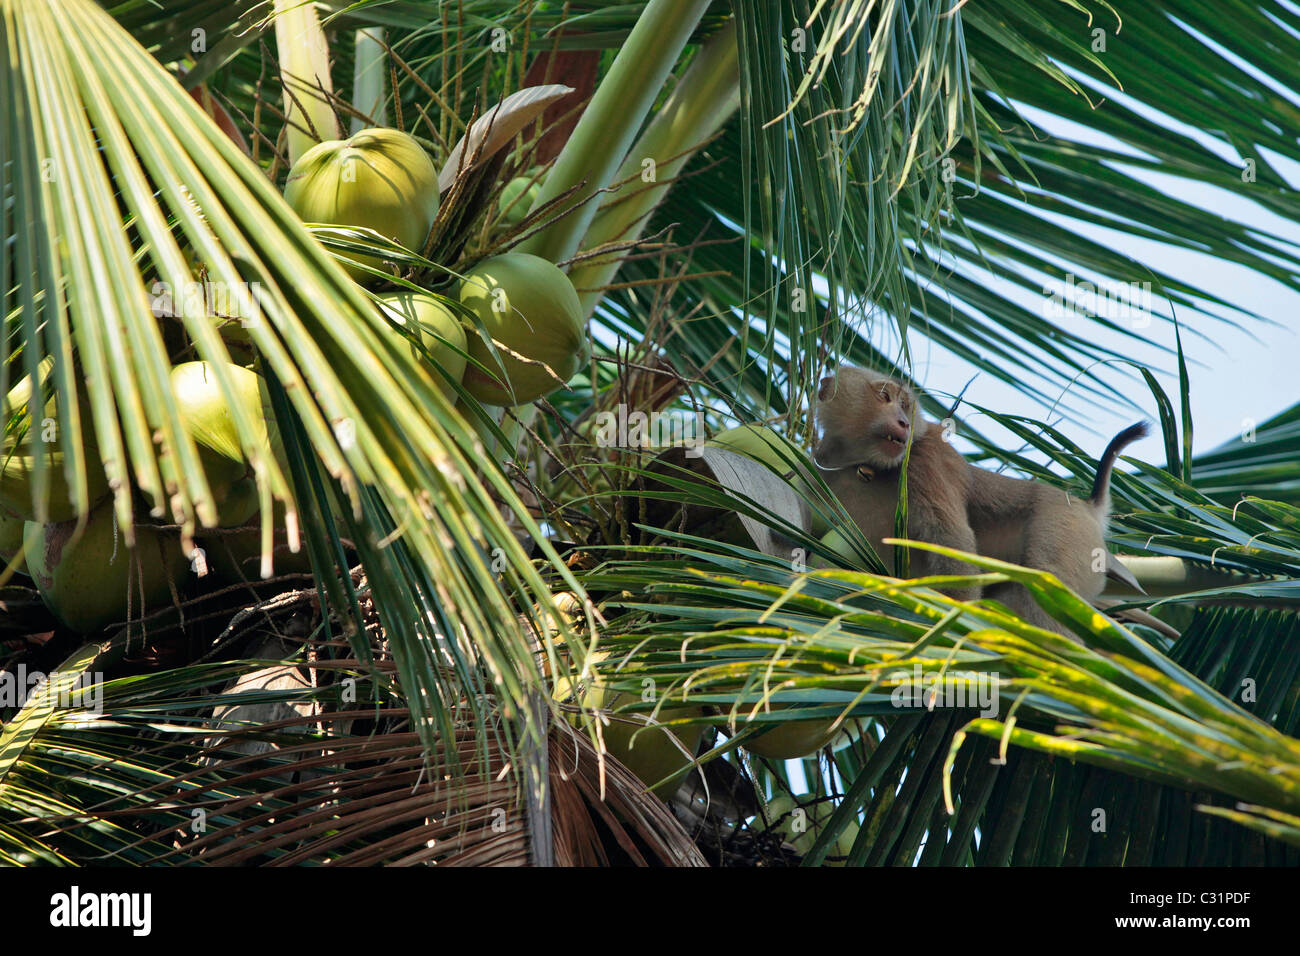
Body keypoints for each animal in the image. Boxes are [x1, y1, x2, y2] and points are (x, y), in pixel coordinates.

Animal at [812, 366, 1148, 633]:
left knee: (1046, 582)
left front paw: (955, 618)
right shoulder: (819, 466)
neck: (866, 465)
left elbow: (950, 541)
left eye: (906, 407)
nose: (903, 422)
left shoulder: (927, 459)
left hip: (1067, 527)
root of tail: (1086, 508)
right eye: (884, 397)